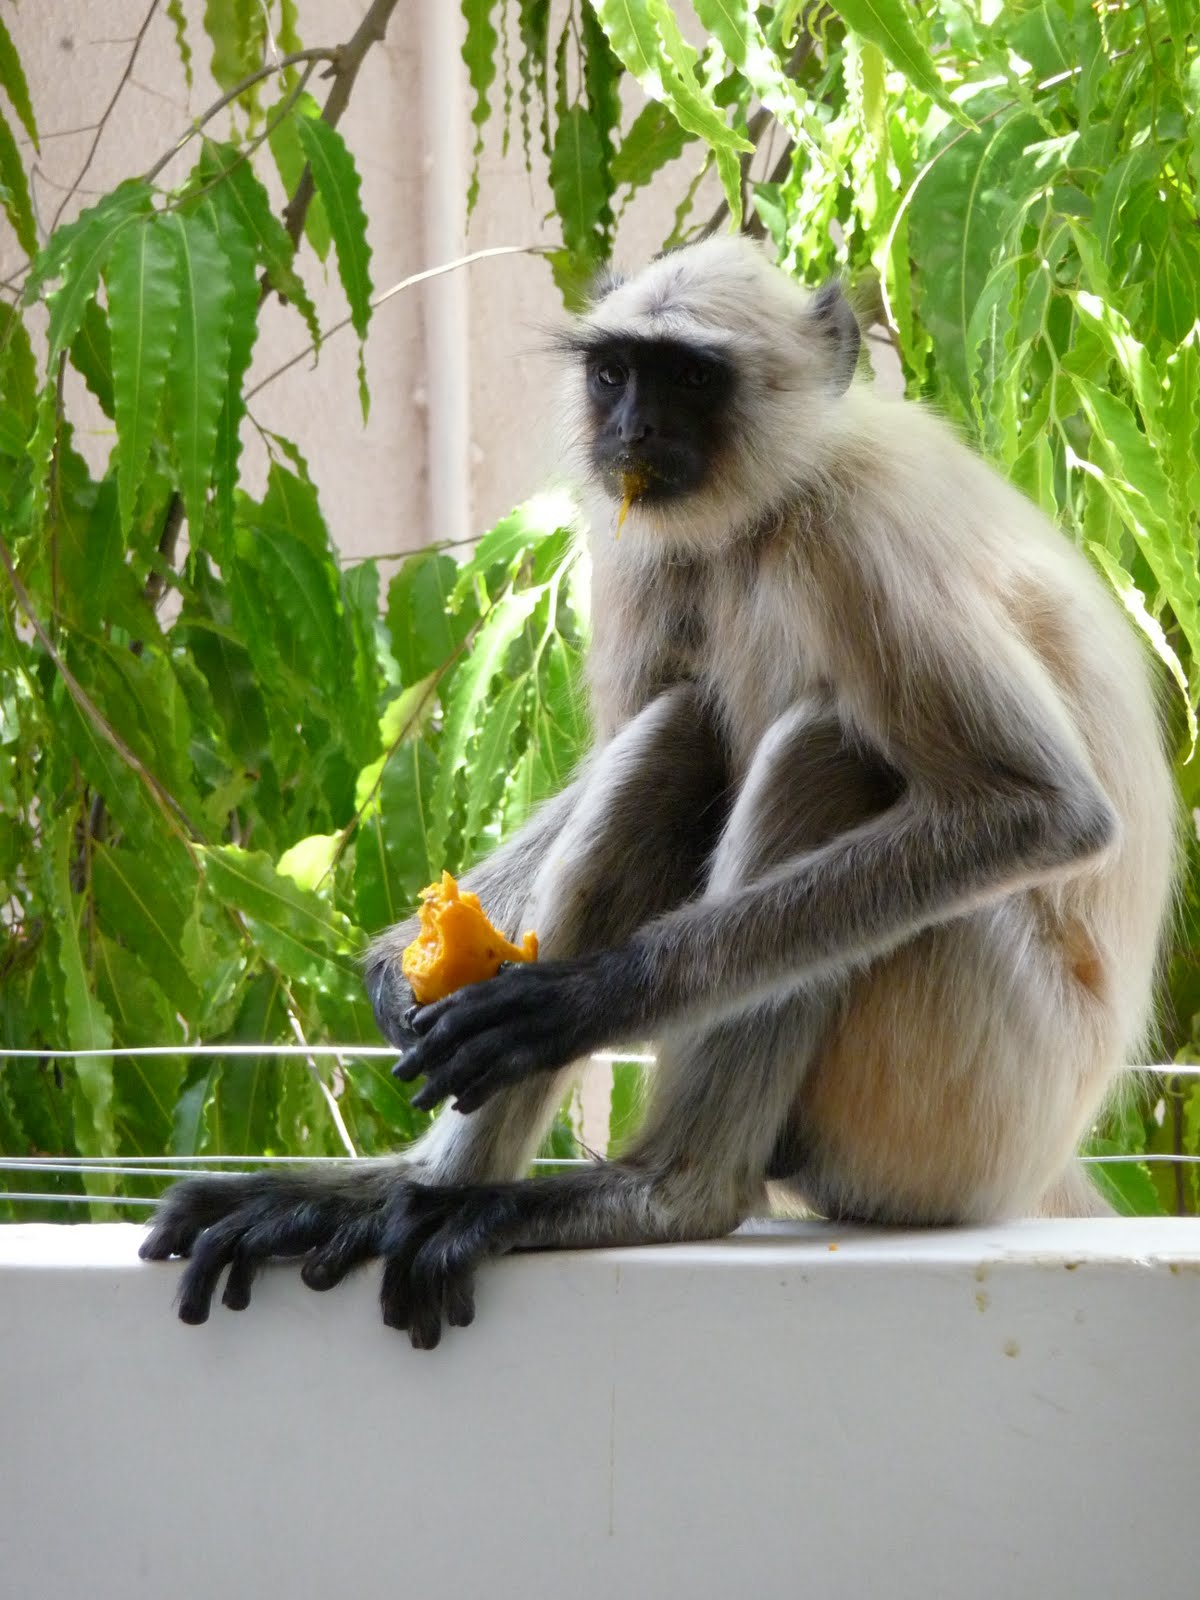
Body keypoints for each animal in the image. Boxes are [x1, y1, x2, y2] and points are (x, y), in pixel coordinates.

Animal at [141, 235, 1176, 1350]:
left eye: (687, 379)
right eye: (614, 373)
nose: (631, 428)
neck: (772, 503)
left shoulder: (862, 537)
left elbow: (1041, 809)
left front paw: (590, 995)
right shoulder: (642, 540)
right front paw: (400, 961)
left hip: (974, 1091)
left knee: (827, 750)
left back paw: (669, 1194)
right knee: (682, 731)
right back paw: (399, 1198)